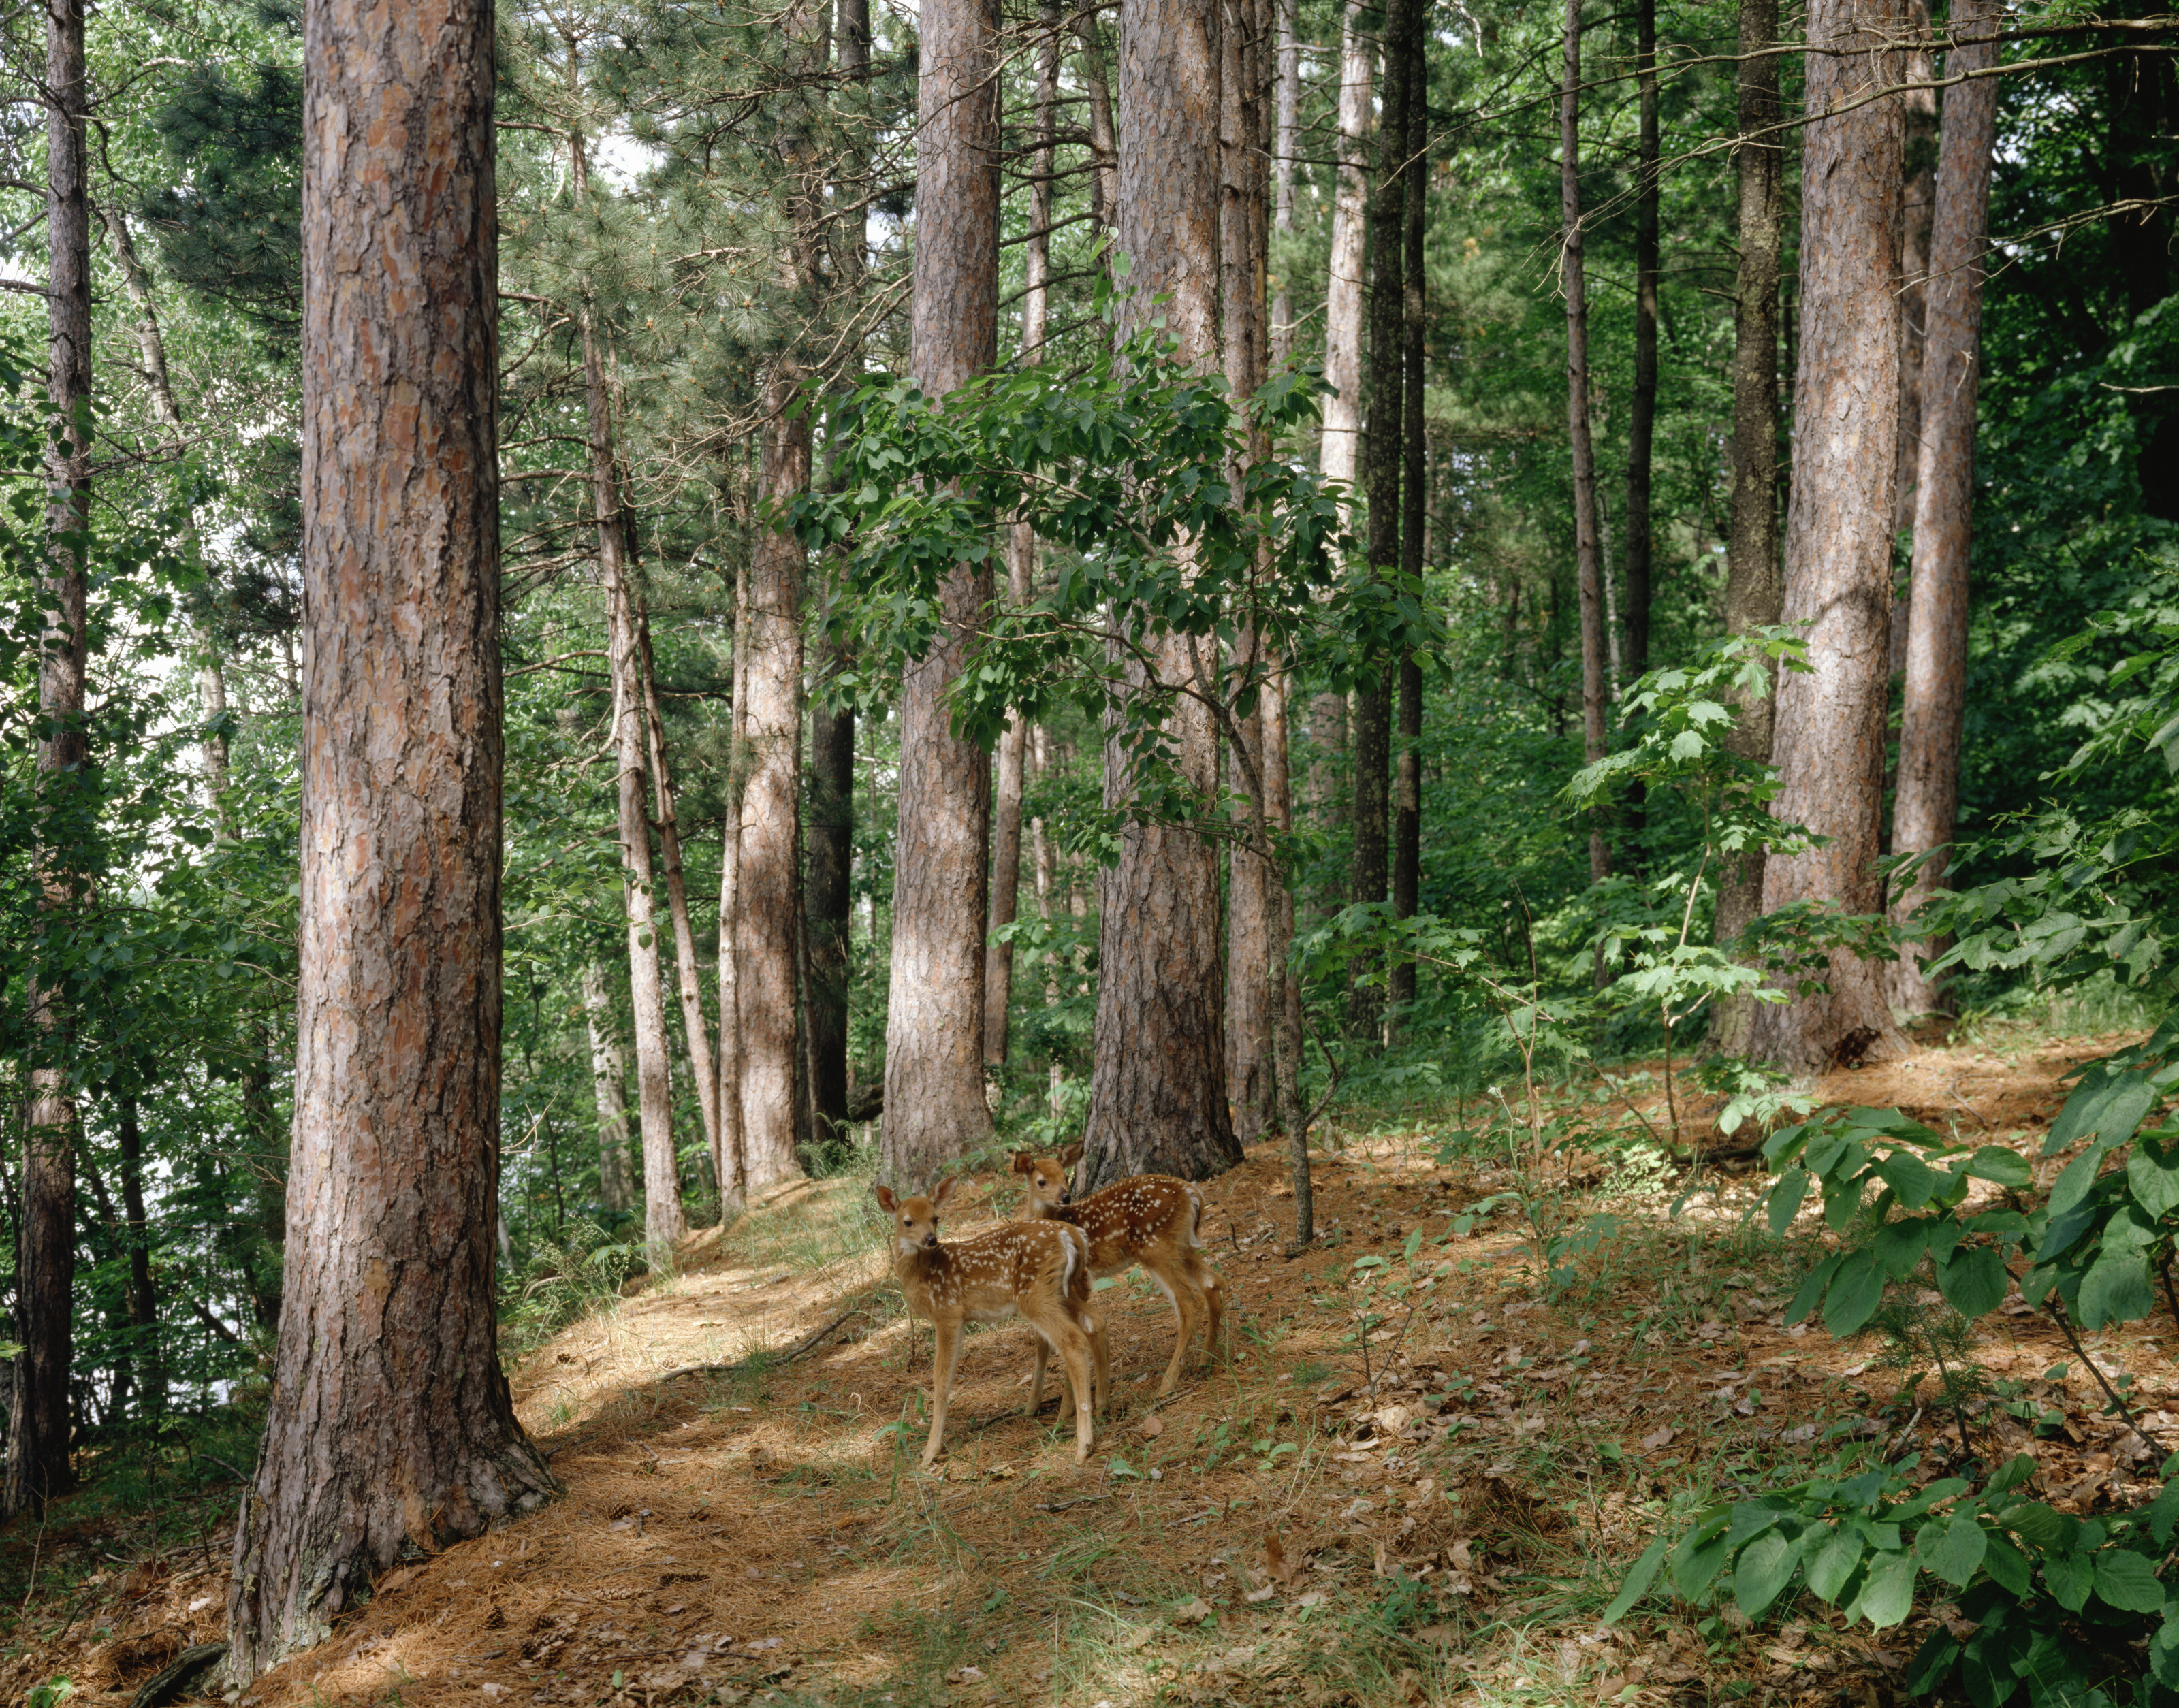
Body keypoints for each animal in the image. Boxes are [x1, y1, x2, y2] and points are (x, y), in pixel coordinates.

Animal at [873, 1176, 1109, 1469]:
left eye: (935, 1217)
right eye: (908, 1222)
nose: (931, 1239)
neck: (923, 1275)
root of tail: (1071, 1234)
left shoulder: (948, 1312)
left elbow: (942, 1379)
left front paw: (930, 1452)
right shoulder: (958, 1318)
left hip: (1035, 1292)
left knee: (1073, 1341)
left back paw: (1083, 1445)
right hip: (1064, 1291)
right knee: (1096, 1322)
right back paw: (1102, 1405)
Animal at [1009, 1141, 1225, 1395]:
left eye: (1065, 1176)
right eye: (1042, 1181)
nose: (1065, 1196)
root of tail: (1192, 1192)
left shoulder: (1080, 1278)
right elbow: (1043, 1339)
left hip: (1156, 1247)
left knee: (1190, 1301)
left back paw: (1167, 1383)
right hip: (1181, 1245)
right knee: (1212, 1281)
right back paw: (1206, 1360)